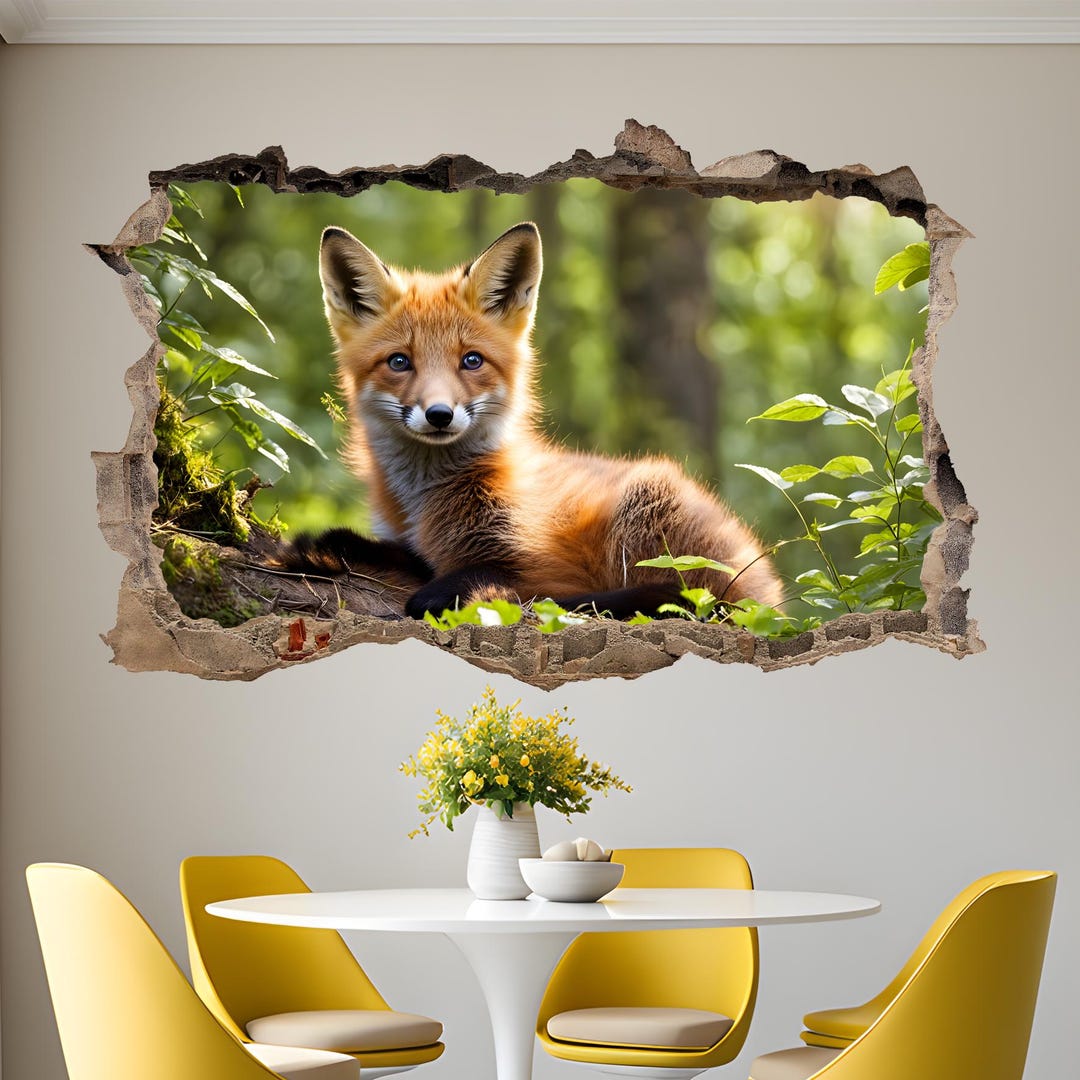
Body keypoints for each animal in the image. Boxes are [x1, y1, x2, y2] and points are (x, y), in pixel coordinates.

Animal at [280, 221, 783, 620]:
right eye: (399, 362)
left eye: (472, 360)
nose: (439, 415)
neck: (425, 504)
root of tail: (770, 587)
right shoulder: (411, 540)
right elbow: (396, 552)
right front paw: (326, 547)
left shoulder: (551, 565)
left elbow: (488, 578)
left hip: (646, 510)